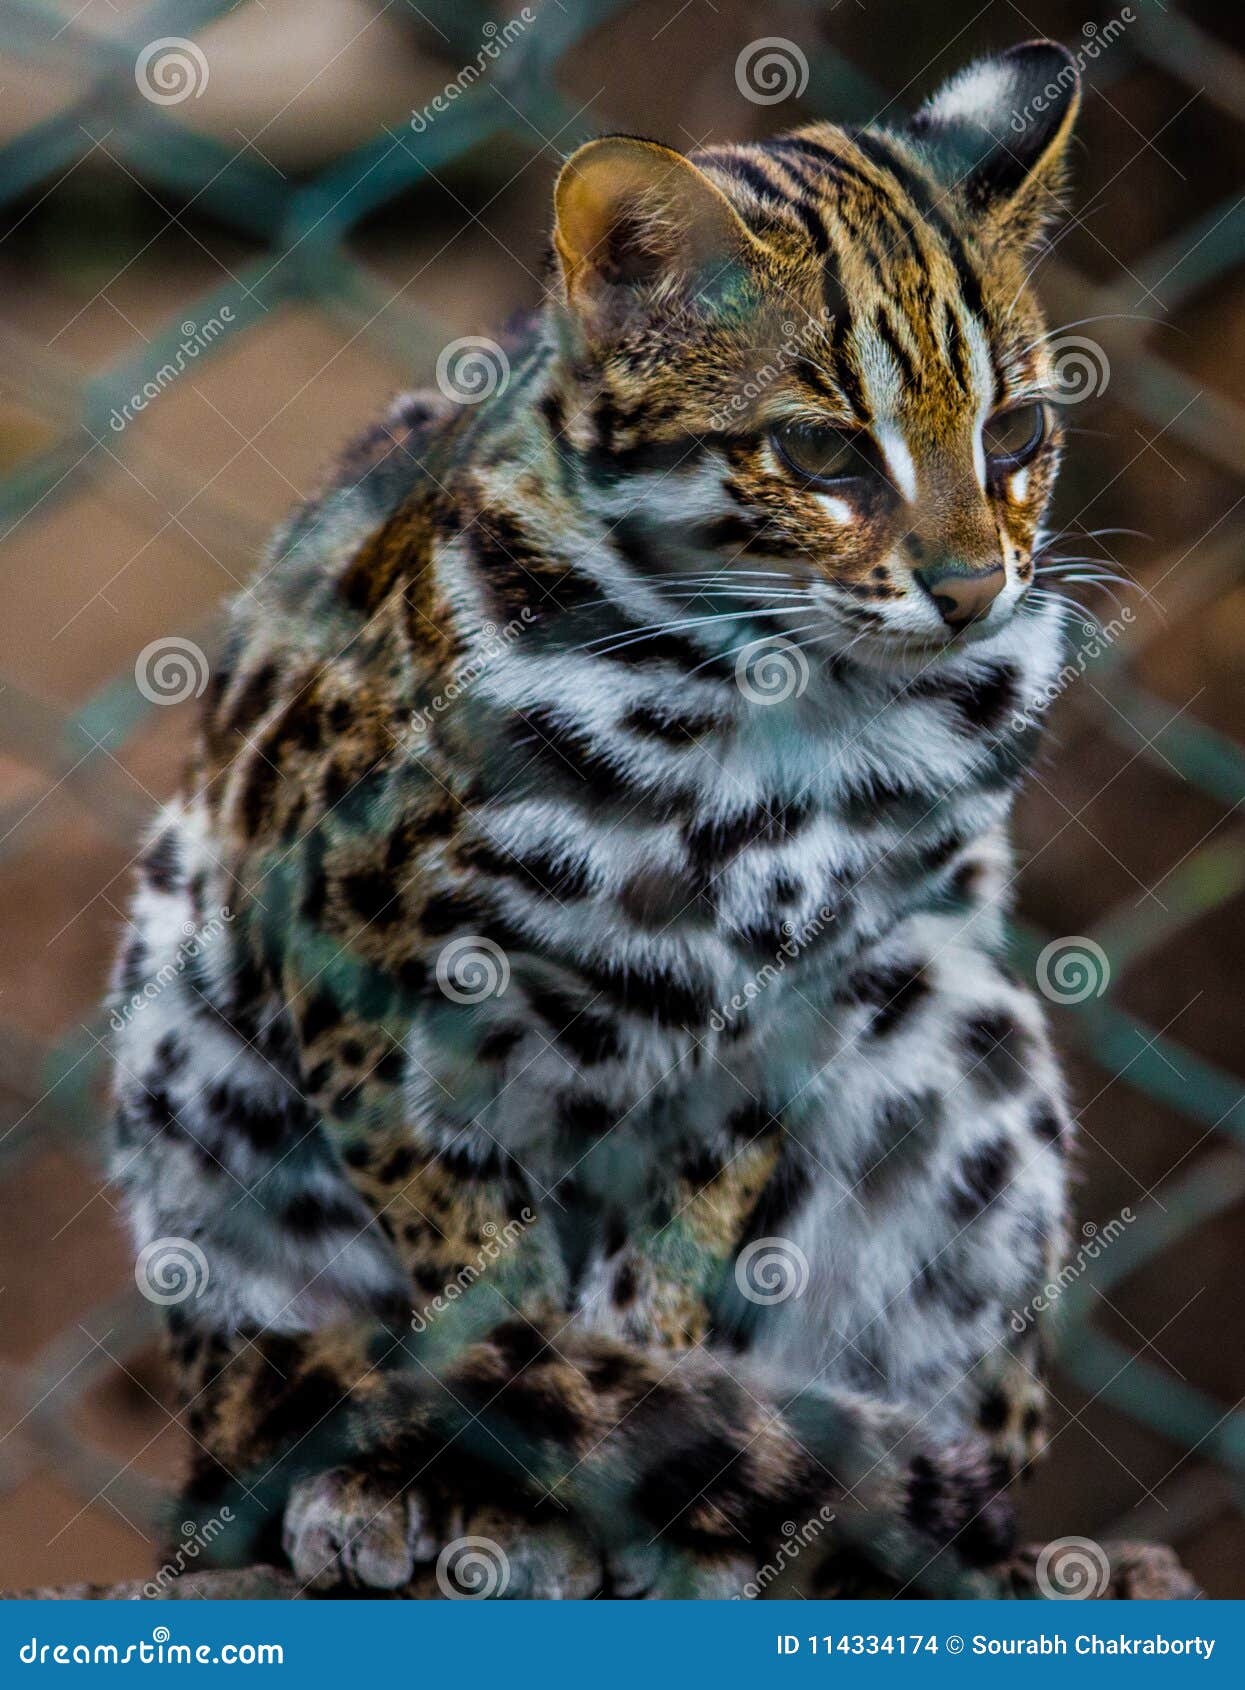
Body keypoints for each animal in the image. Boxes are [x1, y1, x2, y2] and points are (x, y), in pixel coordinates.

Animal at [110, 41, 1086, 1599]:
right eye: (821, 453)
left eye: (1021, 433)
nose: (972, 589)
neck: (767, 719)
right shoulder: (359, 963)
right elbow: (479, 1271)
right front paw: (500, 1481)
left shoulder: (764, 1023)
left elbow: (658, 1284)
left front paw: (650, 1485)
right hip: (181, 1007)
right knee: (248, 1403)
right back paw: (347, 1470)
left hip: (954, 1011)